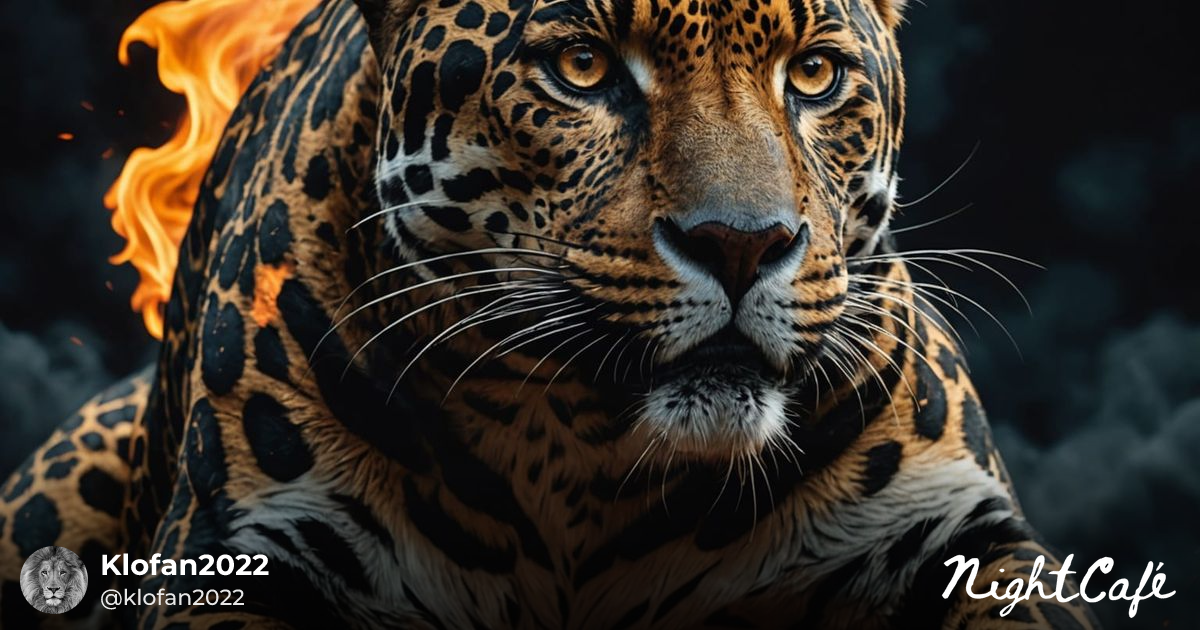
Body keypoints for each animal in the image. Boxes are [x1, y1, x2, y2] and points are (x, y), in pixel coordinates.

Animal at [0, 0, 1102, 628]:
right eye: (580, 67)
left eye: (815, 75)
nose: (741, 243)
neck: (586, 453)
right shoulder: (247, 557)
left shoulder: (962, 540)